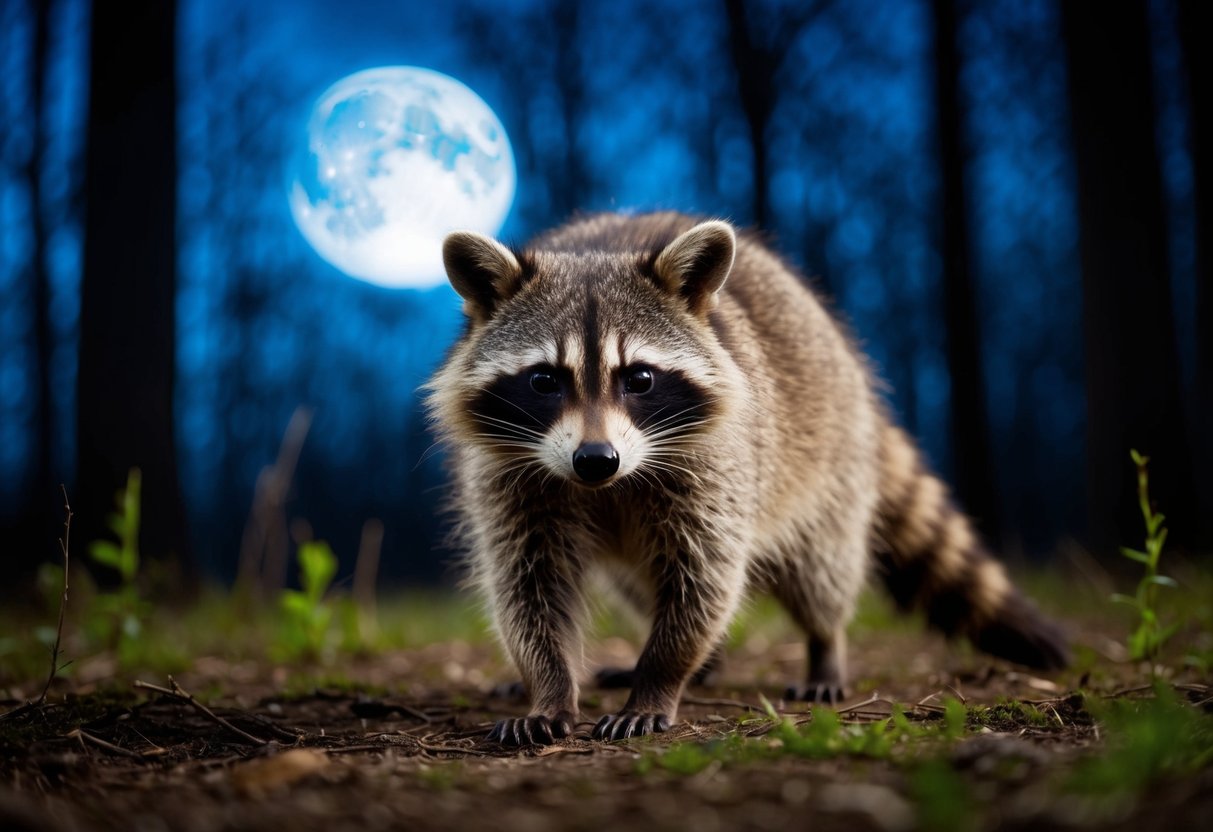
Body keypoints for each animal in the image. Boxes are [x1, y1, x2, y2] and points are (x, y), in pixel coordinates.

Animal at [426, 212, 1069, 746]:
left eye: (639, 378)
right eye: (543, 380)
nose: (596, 458)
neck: (609, 486)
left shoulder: (720, 465)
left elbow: (706, 576)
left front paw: (660, 676)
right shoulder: (509, 481)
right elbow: (527, 587)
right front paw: (549, 686)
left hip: (828, 464)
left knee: (820, 569)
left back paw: (823, 647)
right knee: (640, 583)